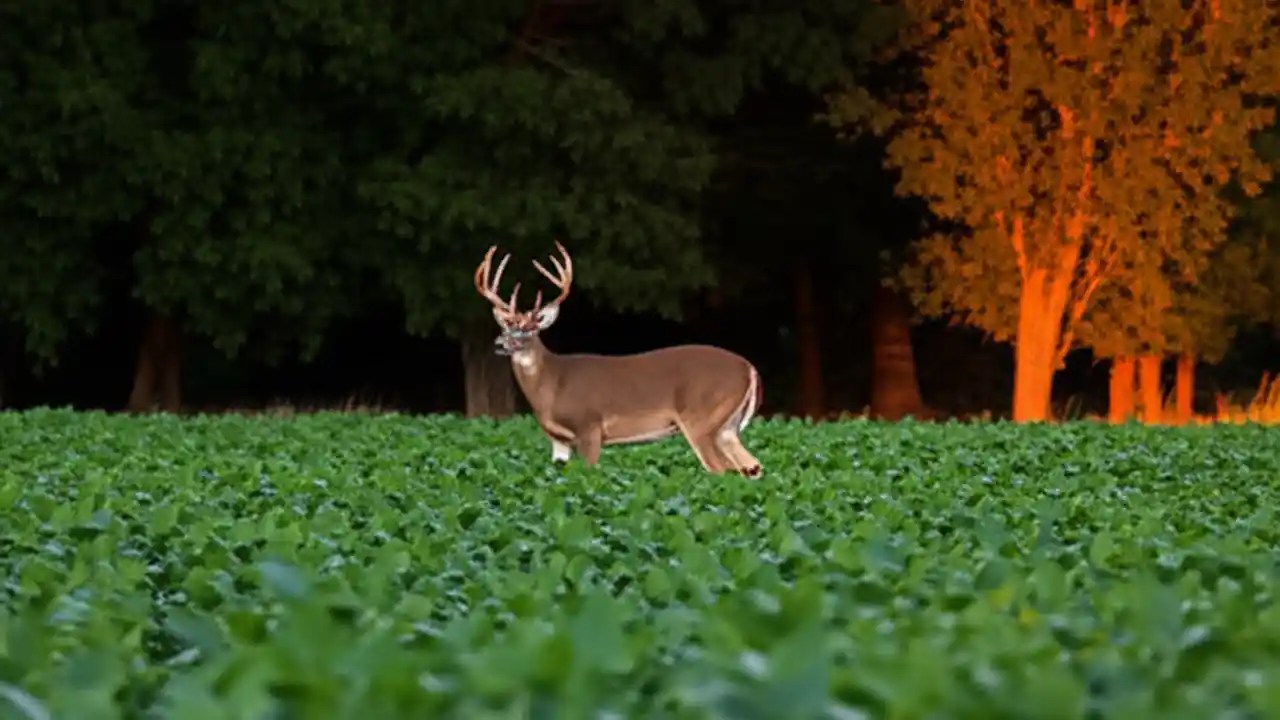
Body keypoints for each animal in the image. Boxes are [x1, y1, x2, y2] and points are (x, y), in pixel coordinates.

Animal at [473, 241, 764, 477]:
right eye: (505, 327)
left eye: (528, 329)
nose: (499, 343)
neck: (552, 385)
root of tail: (749, 368)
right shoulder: (558, 440)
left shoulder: (590, 427)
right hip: (726, 428)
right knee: (751, 468)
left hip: (701, 418)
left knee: (721, 470)